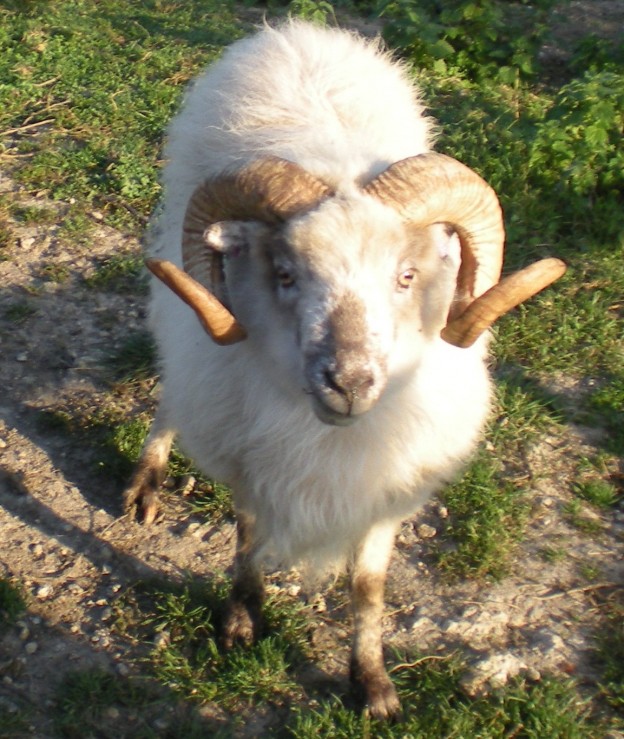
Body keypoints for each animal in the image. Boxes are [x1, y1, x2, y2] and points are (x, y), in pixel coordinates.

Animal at [123, 21, 565, 719]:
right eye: (285, 274)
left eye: (407, 276)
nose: (349, 384)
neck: (334, 441)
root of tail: (295, 32)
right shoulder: (249, 457)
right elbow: (247, 536)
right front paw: (242, 620)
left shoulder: (390, 486)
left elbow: (368, 584)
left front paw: (372, 682)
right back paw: (148, 476)